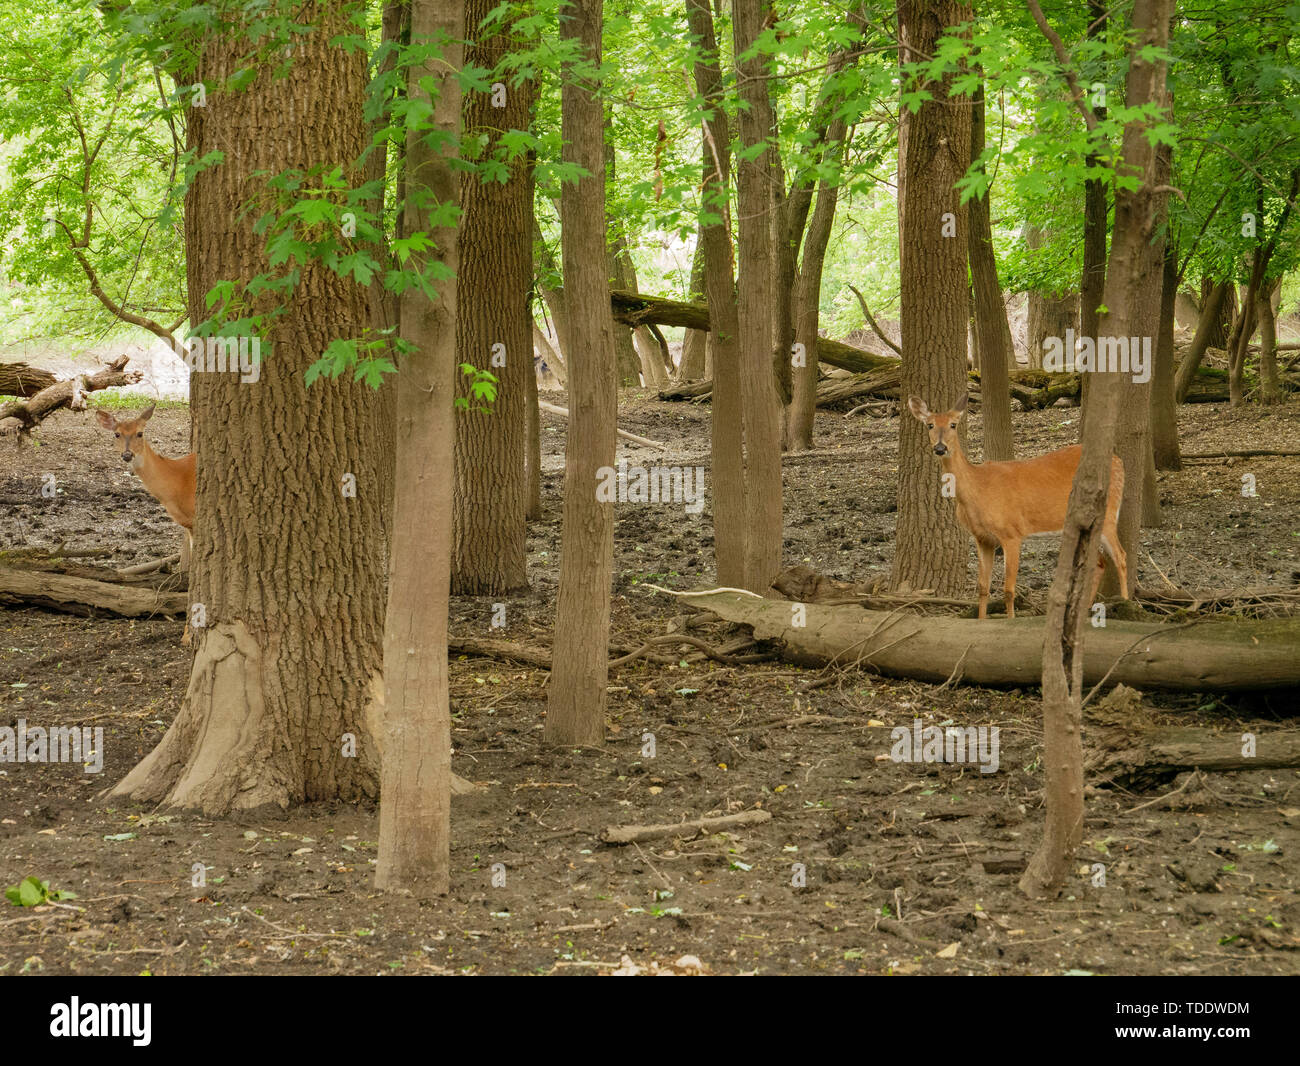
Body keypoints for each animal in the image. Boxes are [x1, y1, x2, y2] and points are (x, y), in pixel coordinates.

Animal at [908, 395, 1127, 620]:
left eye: (953, 424)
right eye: (930, 425)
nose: (940, 448)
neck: (978, 491)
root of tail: (1119, 462)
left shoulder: (1011, 532)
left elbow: (1008, 590)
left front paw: (1011, 620)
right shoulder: (982, 538)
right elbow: (983, 587)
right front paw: (981, 620)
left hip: (1109, 512)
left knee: (1121, 557)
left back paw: (1126, 603)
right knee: (1100, 561)